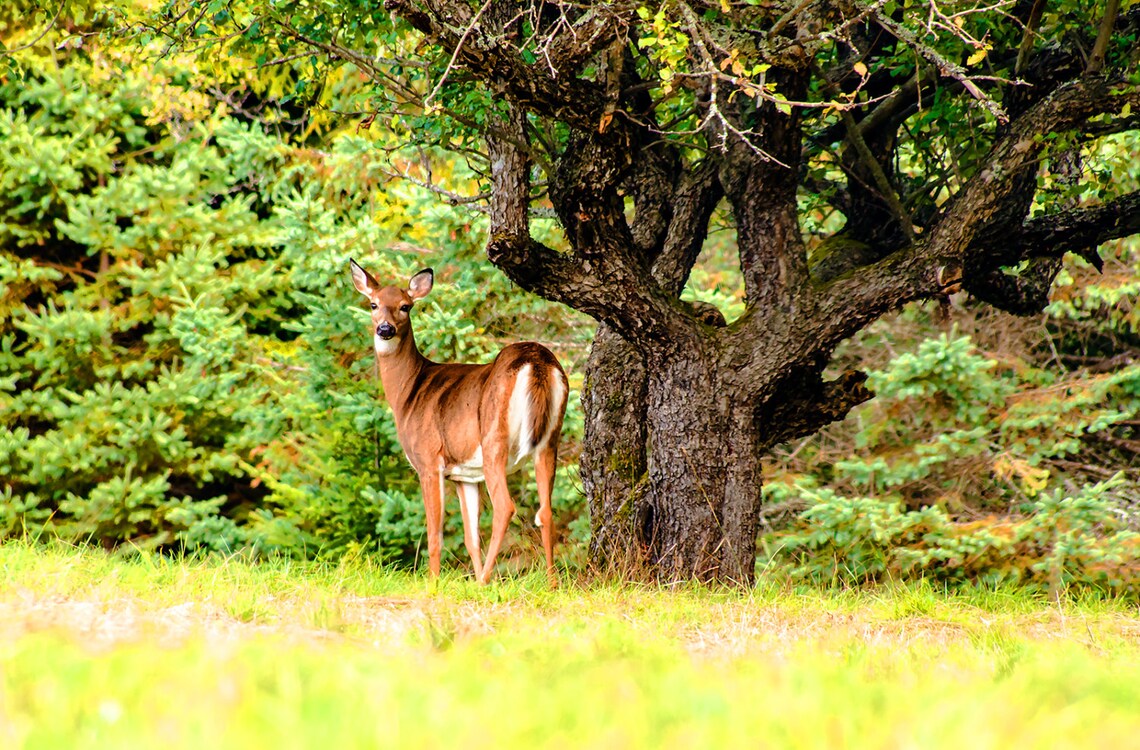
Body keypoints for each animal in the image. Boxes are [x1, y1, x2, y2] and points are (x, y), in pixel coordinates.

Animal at [350, 260, 568, 585]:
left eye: (405, 306)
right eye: (373, 304)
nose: (385, 329)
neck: (408, 392)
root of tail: (538, 361)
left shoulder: (429, 460)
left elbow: (434, 533)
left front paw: (433, 583)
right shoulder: (465, 474)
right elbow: (470, 536)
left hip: (494, 438)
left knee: (506, 507)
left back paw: (485, 581)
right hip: (549, 441)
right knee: (547, 511)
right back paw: (550, 584)